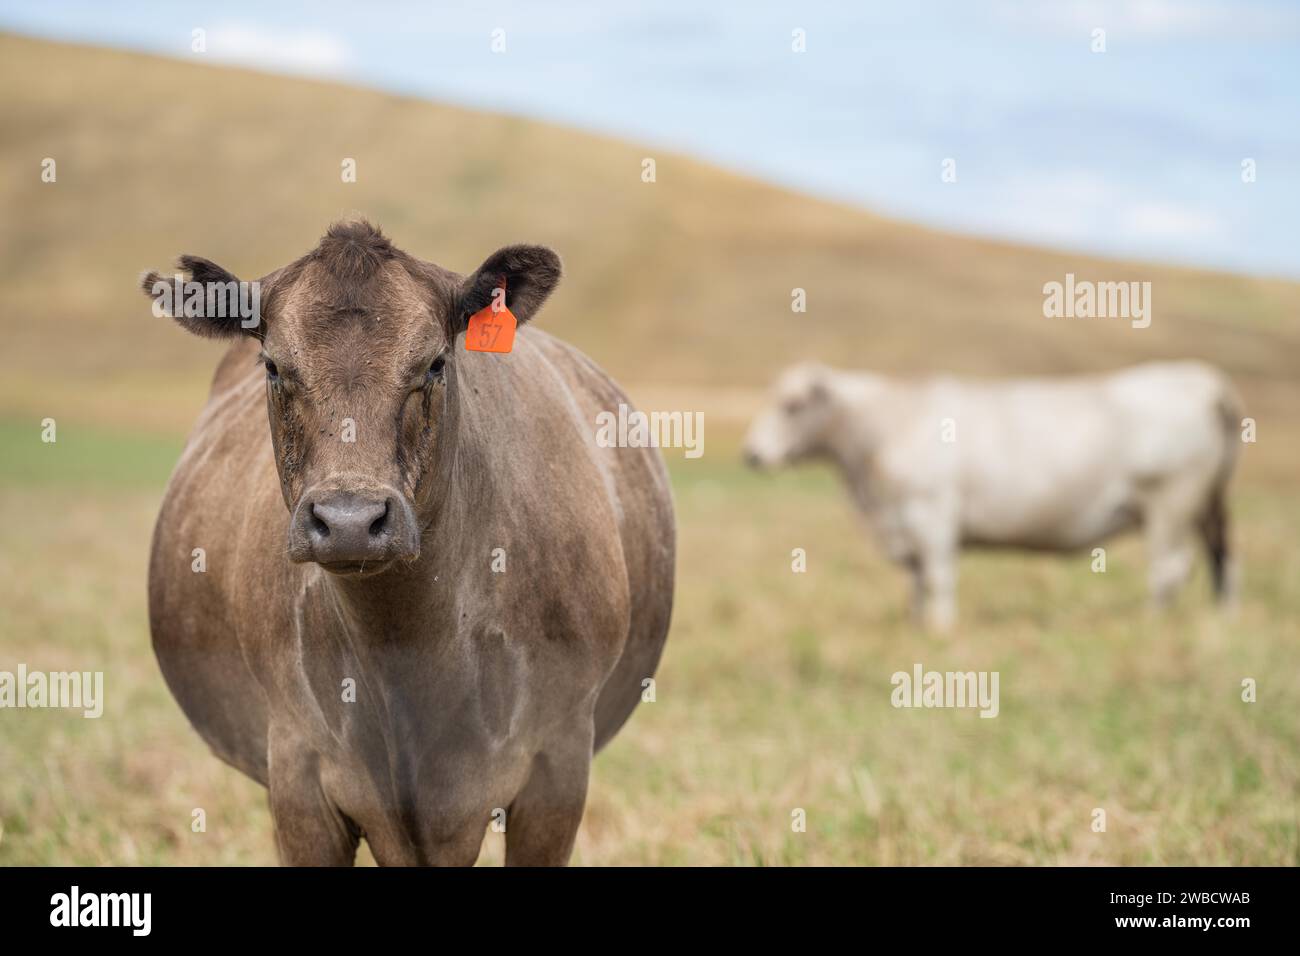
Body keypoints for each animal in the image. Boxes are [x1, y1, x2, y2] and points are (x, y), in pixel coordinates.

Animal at [142, 220, 675, 865]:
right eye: (271, 365)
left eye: (436, 363)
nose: (349, 519)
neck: (409, 645)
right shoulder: (299, 774)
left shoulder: (558, 765)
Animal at [743, 361, 1240, 631]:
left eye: (791, 405)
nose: (751, 454)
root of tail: (1203, 381)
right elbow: (915, 583)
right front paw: (914, 626)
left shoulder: (933, 516)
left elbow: (938, 578)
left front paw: (940, 631)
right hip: (1206, 505)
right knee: (1222, 559)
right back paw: (1221, 616)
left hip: (1171, 501)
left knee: (1171, 568)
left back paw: (1150, 622)